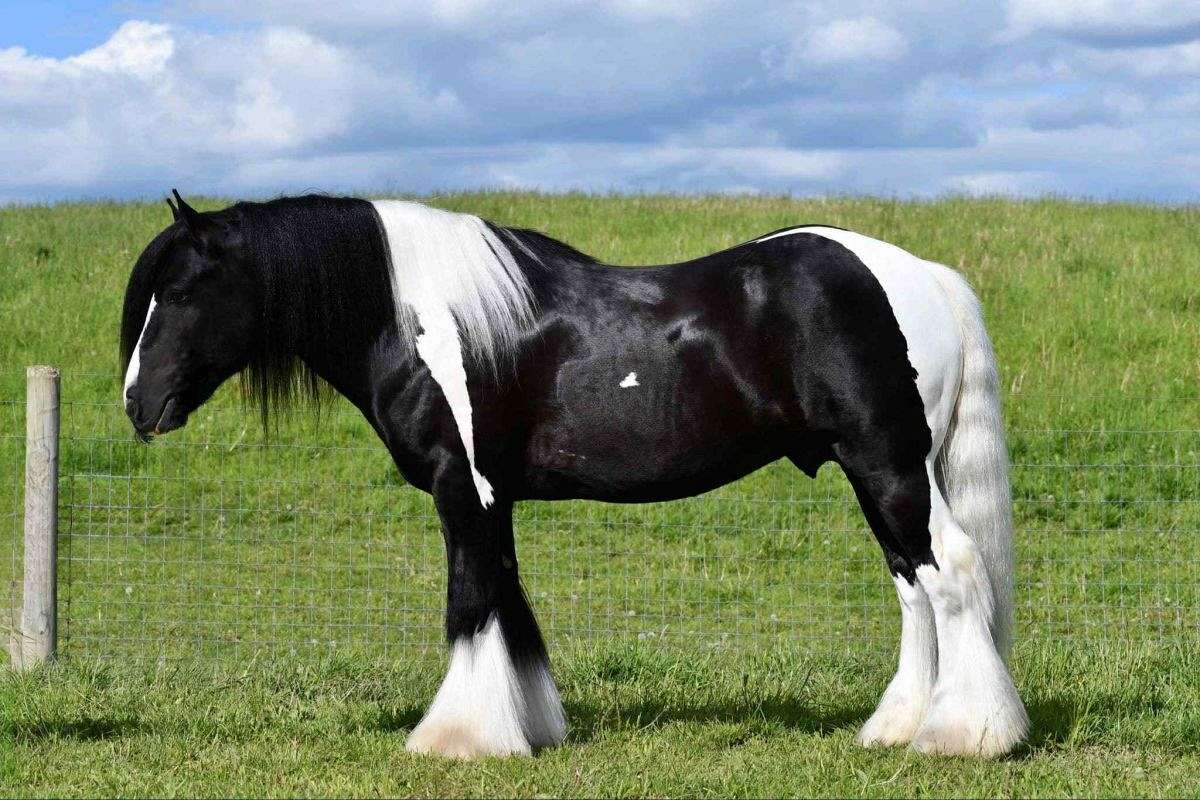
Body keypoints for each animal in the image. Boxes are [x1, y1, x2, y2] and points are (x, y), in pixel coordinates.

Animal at [120, 191, 1029, 759]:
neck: (423, 321)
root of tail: (921, 275)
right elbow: (509, 604)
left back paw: (967, 737)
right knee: (913, 584)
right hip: (874, 473)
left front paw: (455, 739)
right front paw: (526, 727)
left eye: (186, 289)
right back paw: (900, 728)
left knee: (950, 574)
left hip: (888, 465)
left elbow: (470, 603)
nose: (138, 403)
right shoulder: (494, 498)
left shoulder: (463, 489)